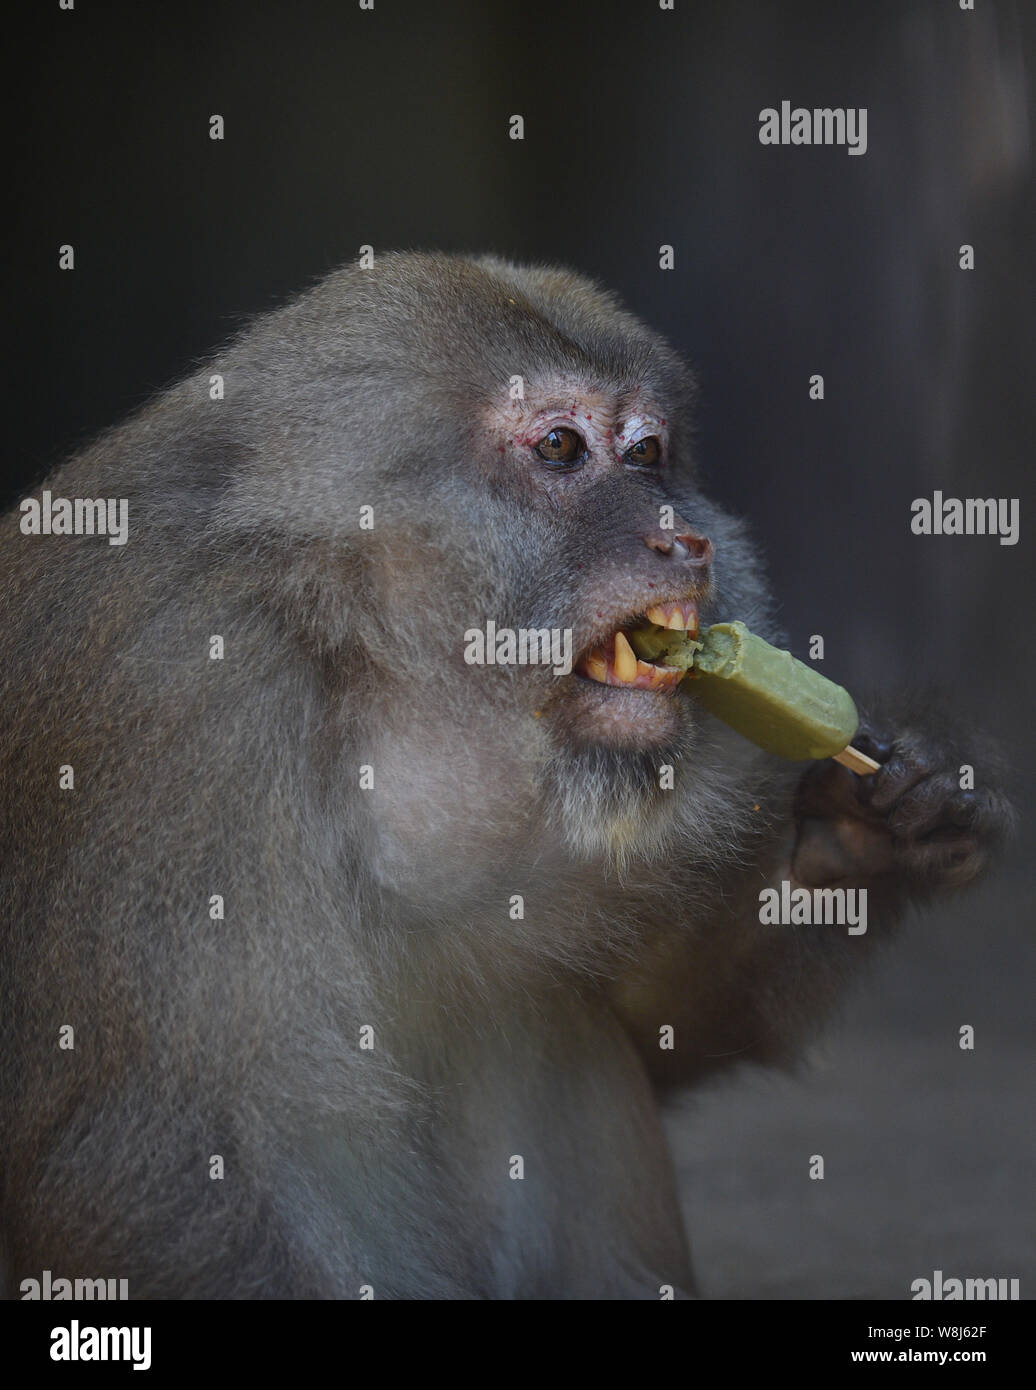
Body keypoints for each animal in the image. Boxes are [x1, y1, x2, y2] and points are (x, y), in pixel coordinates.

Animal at [0, 252, 1011, 1300]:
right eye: (561, 447)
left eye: (648, 454)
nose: (683, 540)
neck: (355, 662)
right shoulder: (172, 702)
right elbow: (152, 1151)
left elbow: (648, 1027)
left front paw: (868, 830)